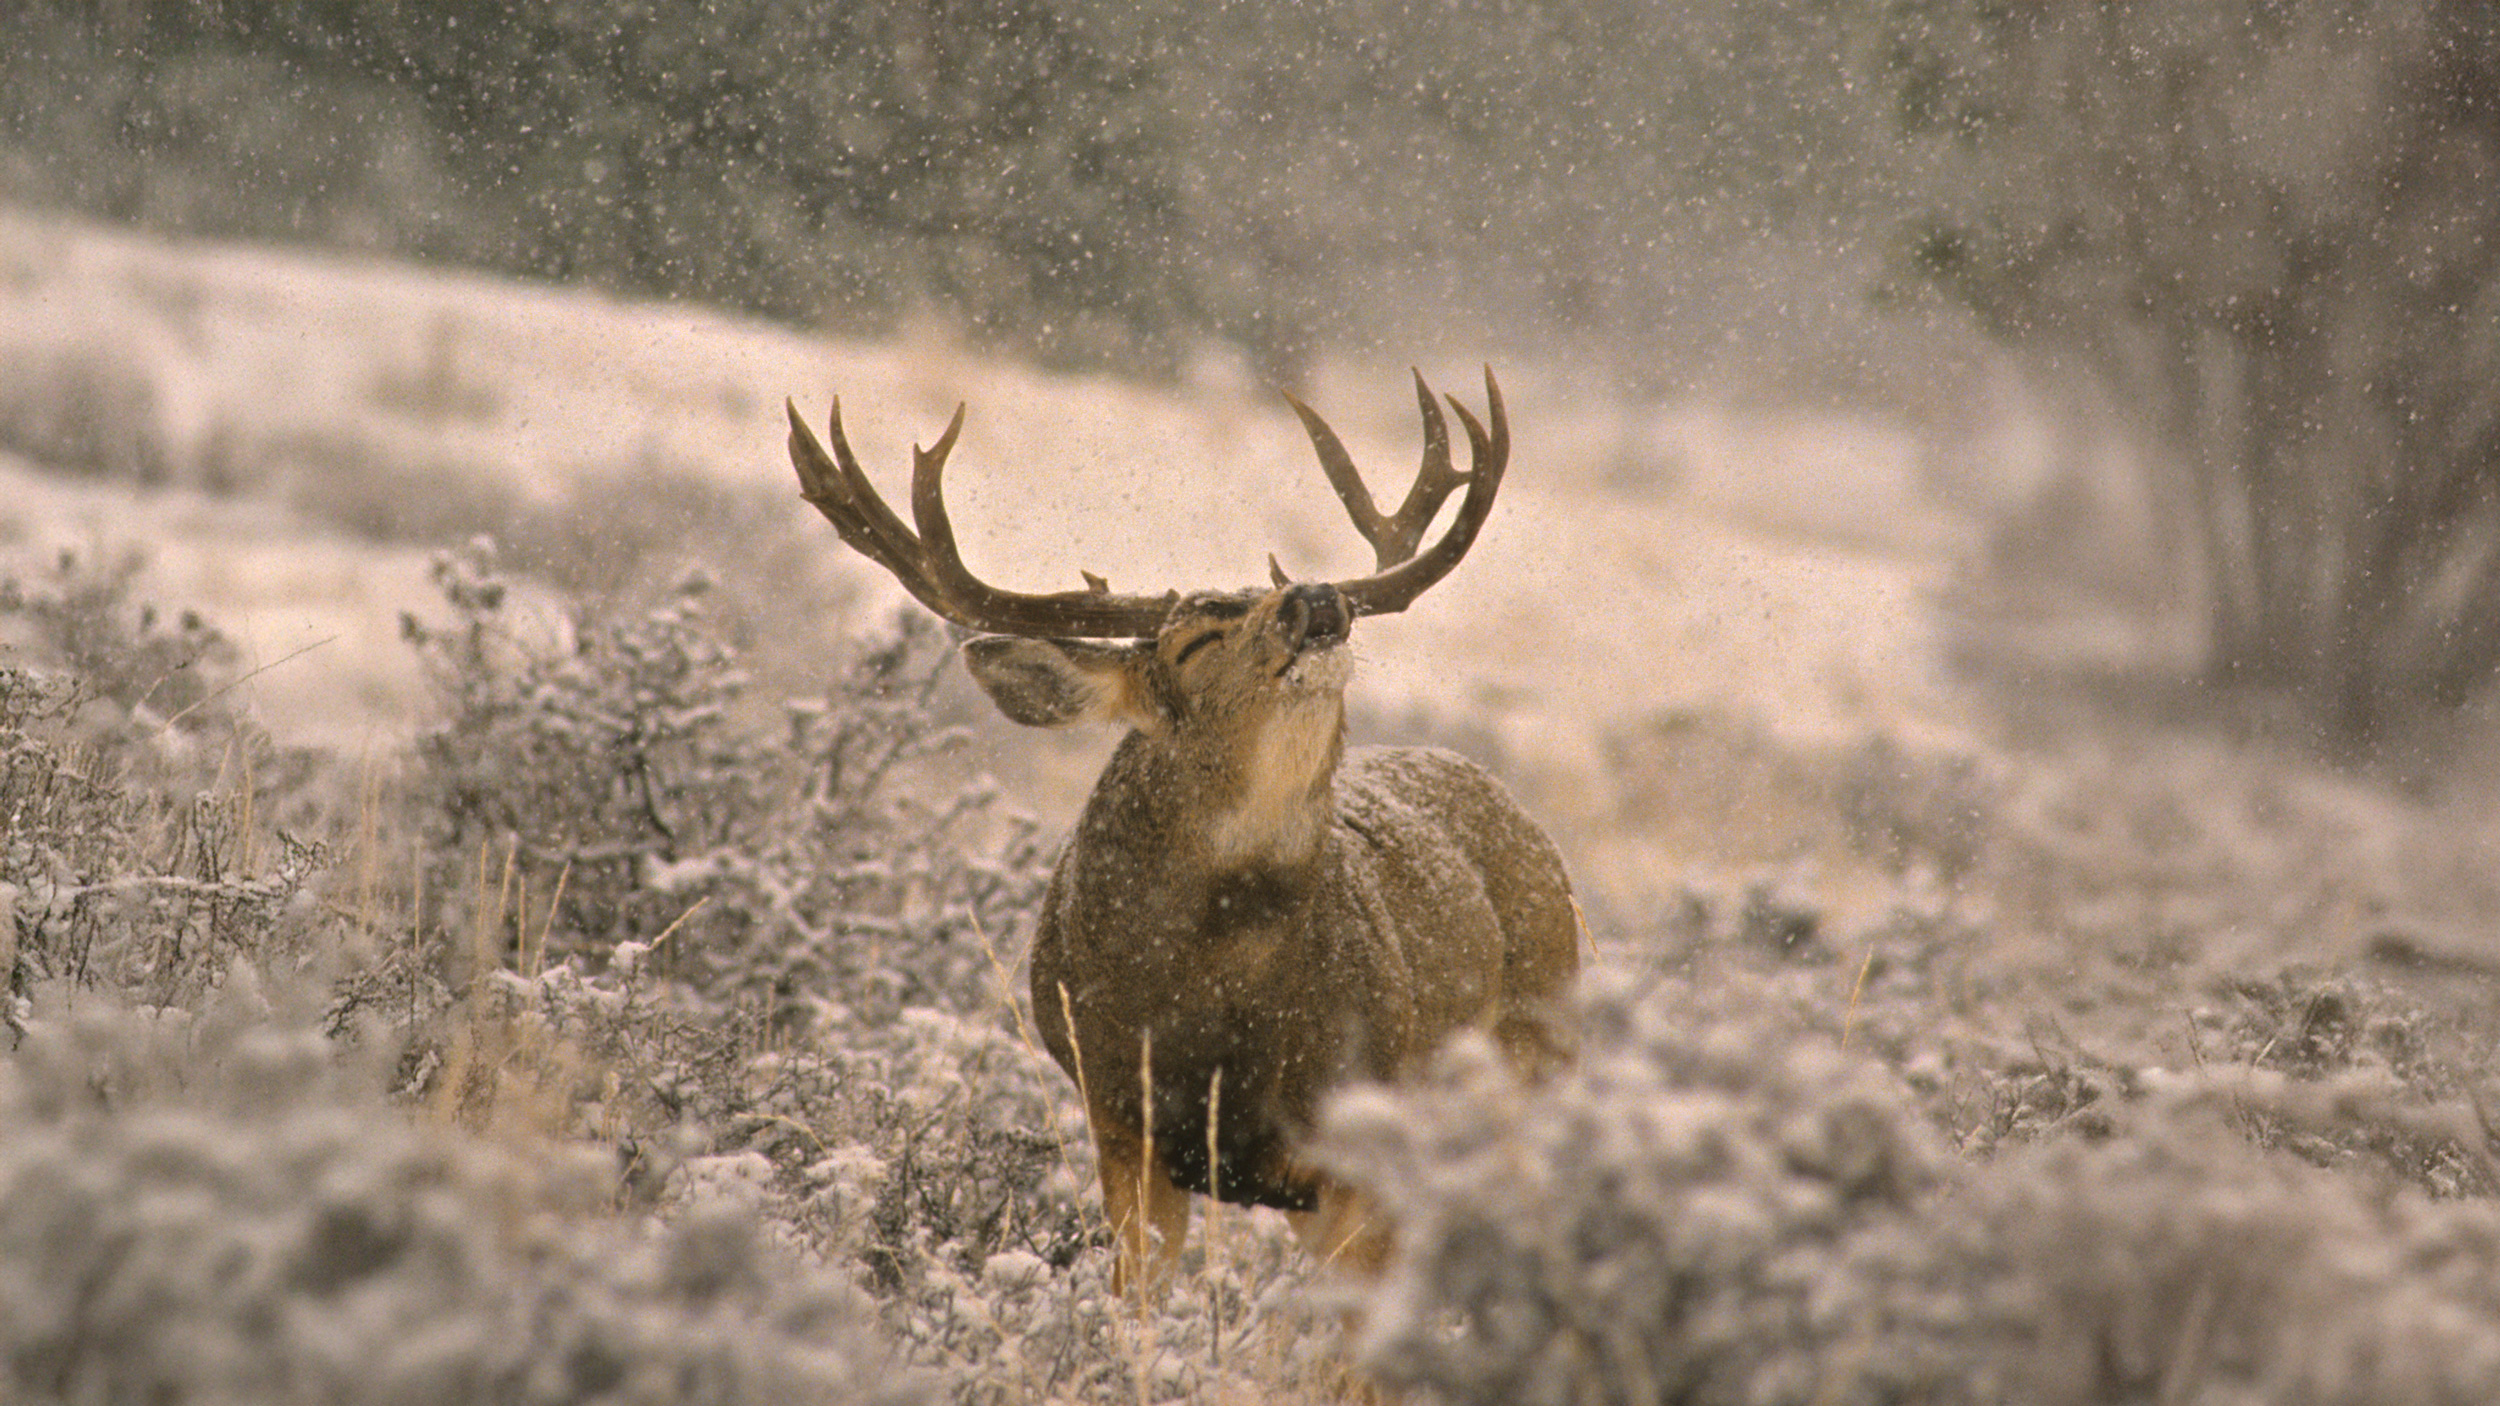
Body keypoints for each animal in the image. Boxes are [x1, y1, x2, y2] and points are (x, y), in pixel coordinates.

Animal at [784, 369, 1578, 1296]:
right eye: (1196, 640)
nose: (1317, 596)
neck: (1220, 1009)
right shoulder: (1120, 1117)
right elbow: (1139, 1302)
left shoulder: (1355, 1134)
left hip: (1535, 1058)